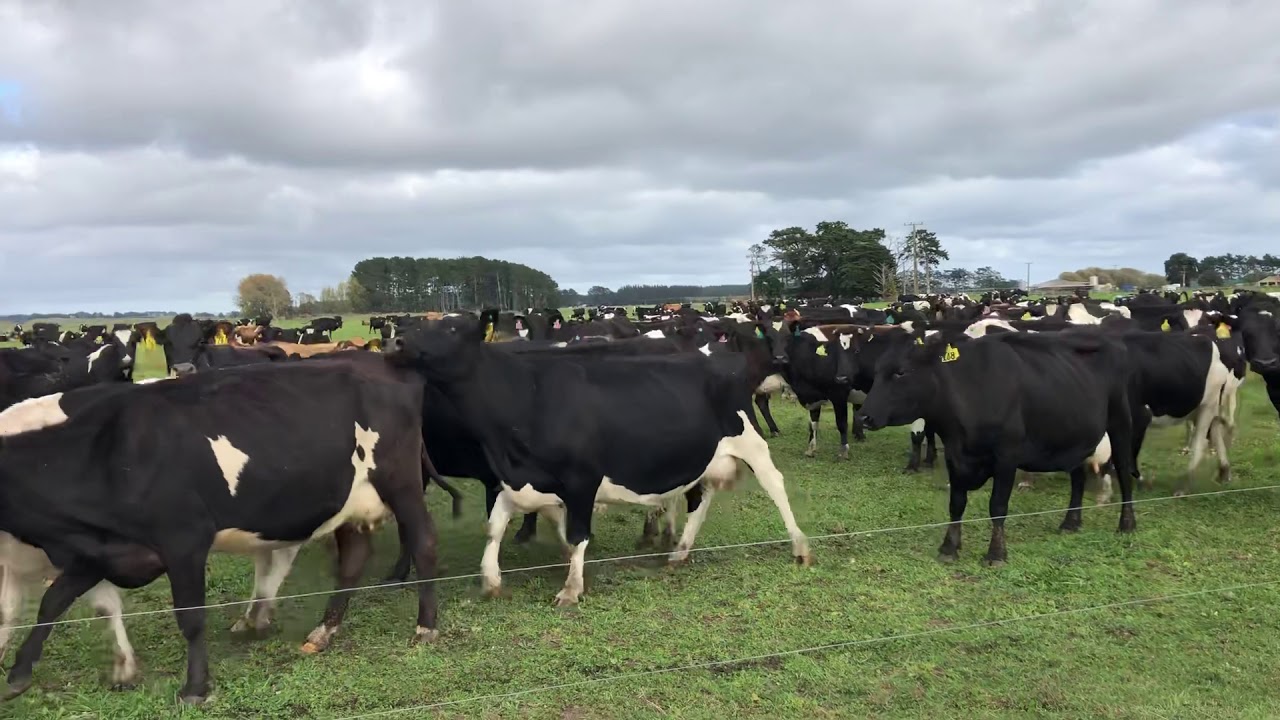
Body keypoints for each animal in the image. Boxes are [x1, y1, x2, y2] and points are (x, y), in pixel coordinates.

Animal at [0, 359, 441, 703]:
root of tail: (386, 366)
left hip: (401, 484)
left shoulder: (184, 540)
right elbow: (53, 602)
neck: (107, 455)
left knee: (423, 544)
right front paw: (18, 675)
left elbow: (191, 617)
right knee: (352, 560)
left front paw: (195, 687)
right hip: (350, 501)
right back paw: (323, 632)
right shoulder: (103, 551)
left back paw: (426, 627)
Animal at [387, 321, 812, 607]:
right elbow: (494, 528)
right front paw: (491, 580)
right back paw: (679, 551)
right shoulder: (516, 480)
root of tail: (719, 360)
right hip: (703, 458)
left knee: (775, 484)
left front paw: (571, 588)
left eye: (452, 327)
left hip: (750, 440)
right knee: (699, 498)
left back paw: (799, 546)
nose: (398, 341)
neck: (527, 398)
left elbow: (578, 535)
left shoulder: (581, 480)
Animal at [855, 331, 1138, 566]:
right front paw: (949, 547)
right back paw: (1070, 522)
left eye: (901, 372)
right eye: (877, 371)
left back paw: (1127, 524)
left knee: (1124, 471)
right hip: (1075, 436)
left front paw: (996, 553)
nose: (863, 416)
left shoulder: (1006, 457)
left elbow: (997, 507)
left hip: (1121, 421)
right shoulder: (954, 456)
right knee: (1078, 477)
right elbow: (956, 503)